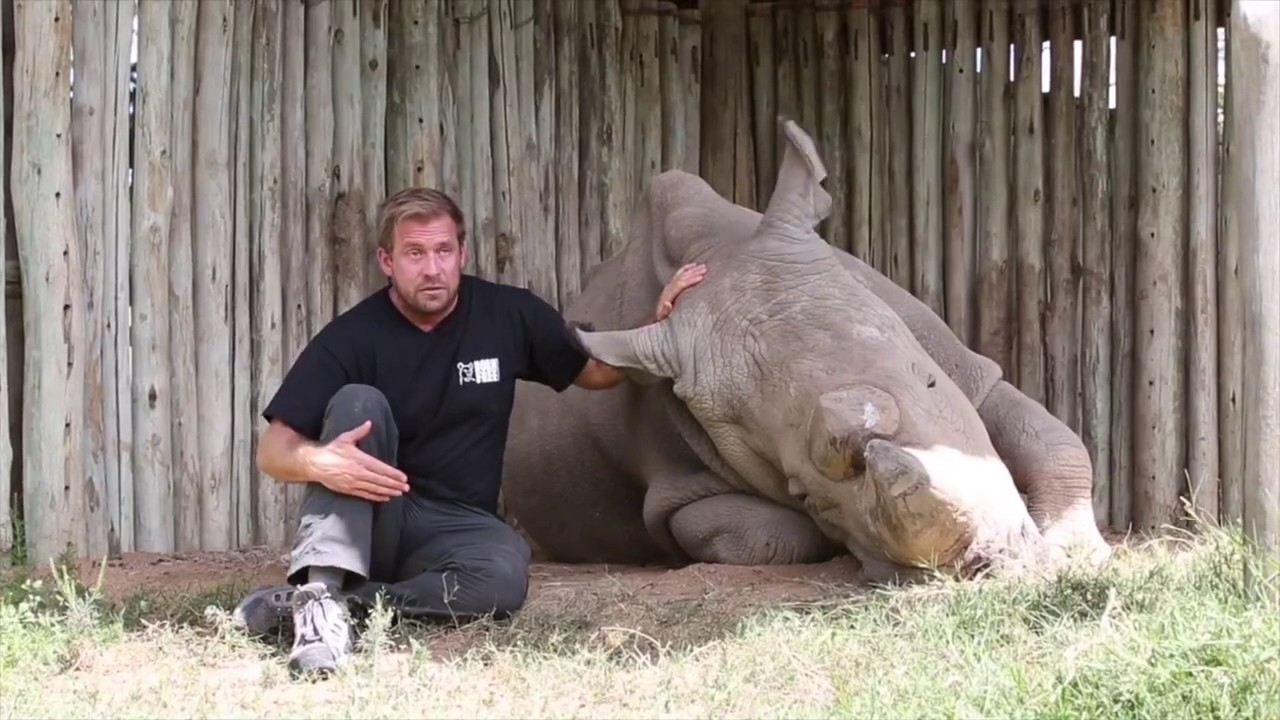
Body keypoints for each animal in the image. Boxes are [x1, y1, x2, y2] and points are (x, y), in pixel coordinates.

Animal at [501, 119, 1109, 583]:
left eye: (930, 380)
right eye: (803, 491)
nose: (981, 562)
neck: (714, 252)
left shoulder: (961, 365)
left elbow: (1051, 439)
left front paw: (1077, 551)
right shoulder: (677, 484)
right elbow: (774, 533)